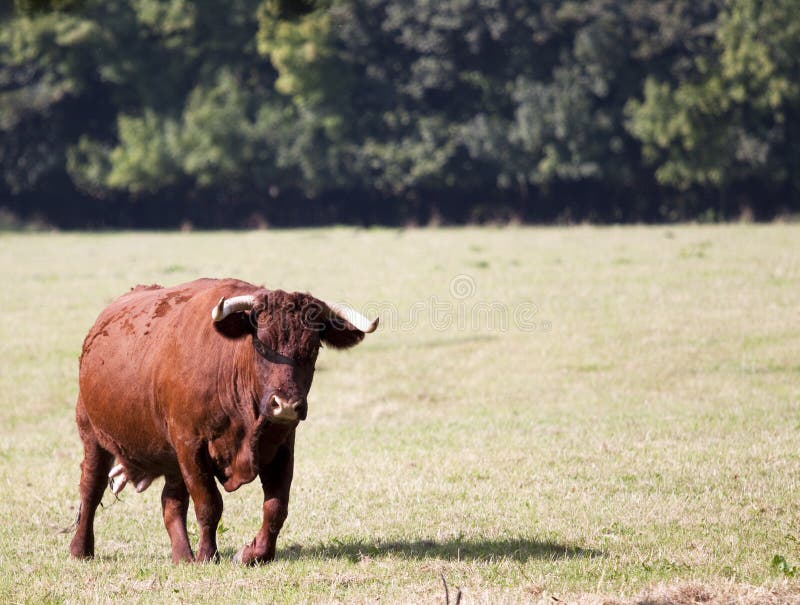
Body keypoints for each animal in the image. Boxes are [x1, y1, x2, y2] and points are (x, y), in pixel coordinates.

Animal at [69, 278, 377, 564]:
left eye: (313, 349)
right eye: (261, 343)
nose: (287, 405)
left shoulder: (282, 447)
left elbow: (276, 507)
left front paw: (254, 554)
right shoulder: (190, 446)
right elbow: (209, 504)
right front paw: (208, 554)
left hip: (170, 459)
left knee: (171, 502)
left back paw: (182, 556)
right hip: (93, 436)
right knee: (91, 488)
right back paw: (80, 549)